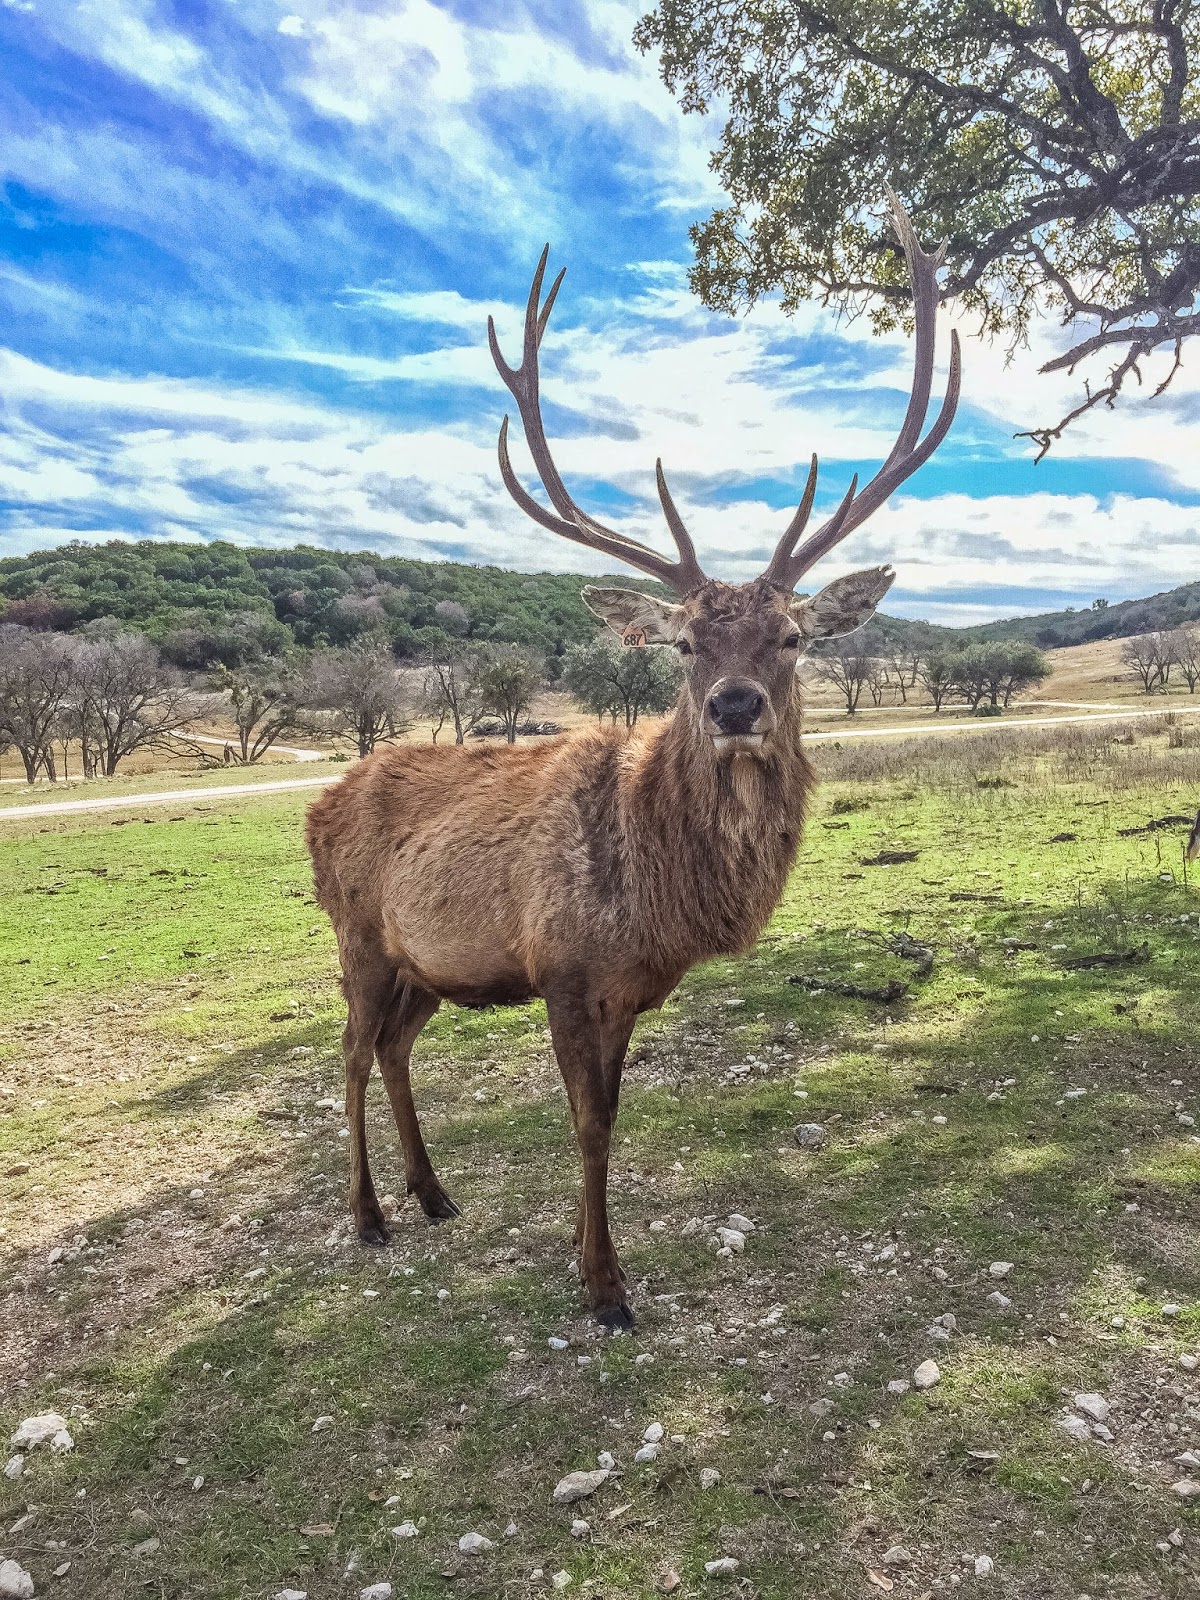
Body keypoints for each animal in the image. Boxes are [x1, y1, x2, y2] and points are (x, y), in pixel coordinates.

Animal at [305, 195, 960, 1328]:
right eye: (686, 644)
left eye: (794, 637)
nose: (736, 704)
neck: (662, 902)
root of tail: (312, 809)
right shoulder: (565, 969)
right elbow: (590, 1122)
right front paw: (605, 1283)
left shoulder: (626, 987)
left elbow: (611, 1112)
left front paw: (586, 1257)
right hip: (358, 933)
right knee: (346, 1054)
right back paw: (369, 1214)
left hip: (427, 961)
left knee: (391, 1047)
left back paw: (433, 1194)